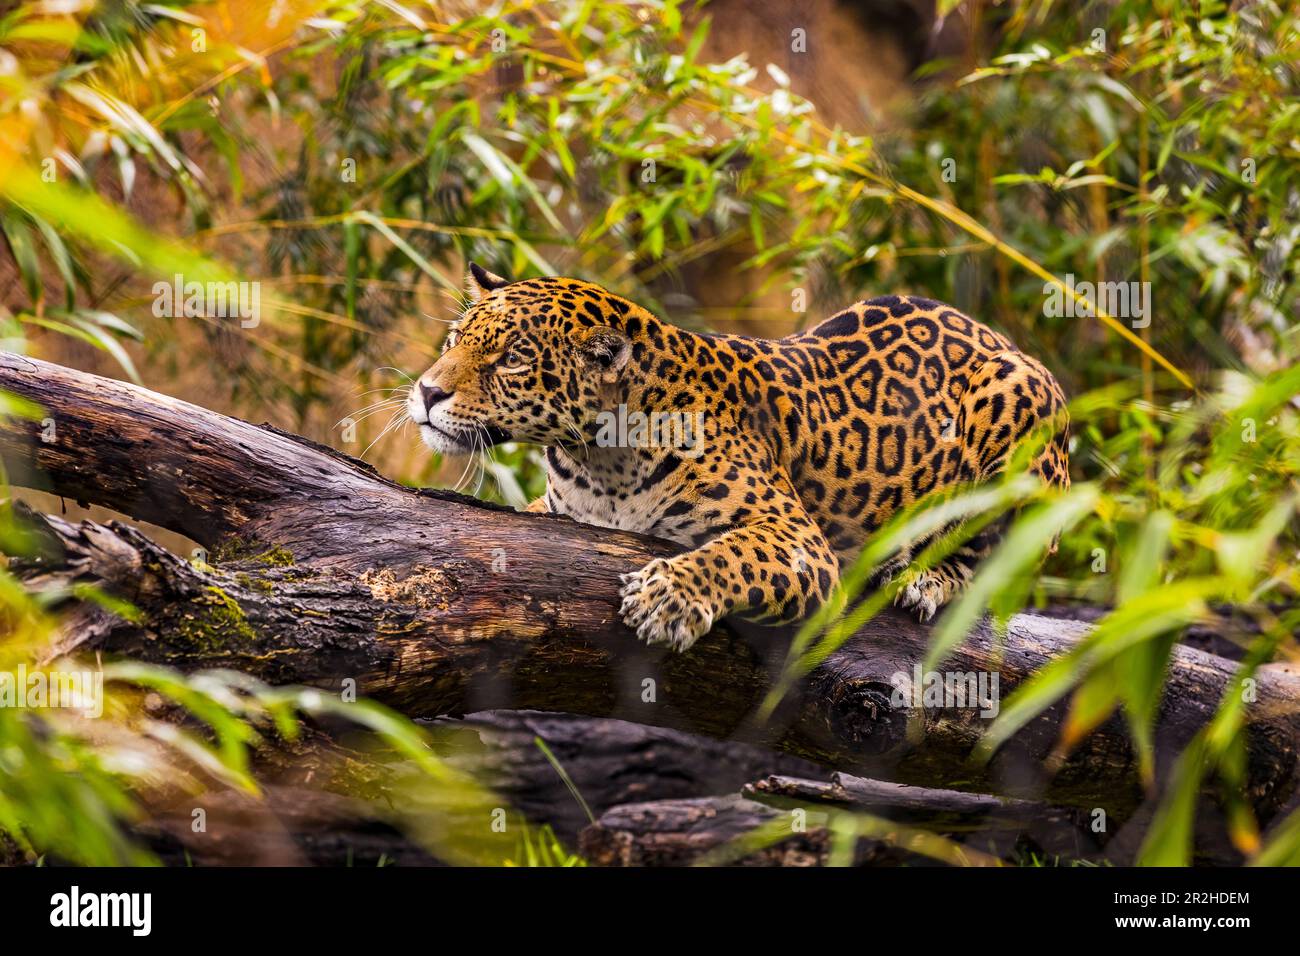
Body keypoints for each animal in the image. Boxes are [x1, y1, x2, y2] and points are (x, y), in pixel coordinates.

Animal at [407, 263, 1070, 653]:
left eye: (514, 360)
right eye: (455, 339)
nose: (427, 392)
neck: (598, 458)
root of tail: (999, 337)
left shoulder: (797, 538)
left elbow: (731, 554)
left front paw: (666, 599)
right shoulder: (557, 508)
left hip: (1017, 406)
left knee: (1000, 557)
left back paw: (923, 577)